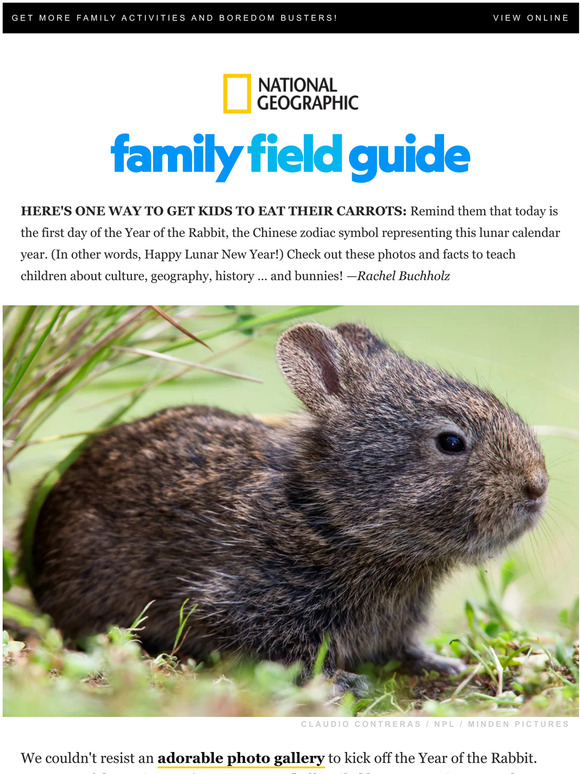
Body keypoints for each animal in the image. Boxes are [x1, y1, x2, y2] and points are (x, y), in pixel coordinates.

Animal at [29, 322, 548, 693]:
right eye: (450, 442)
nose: (537, 487)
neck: (330, 514)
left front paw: (444, 663)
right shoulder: (250, 601)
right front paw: (343, 683)